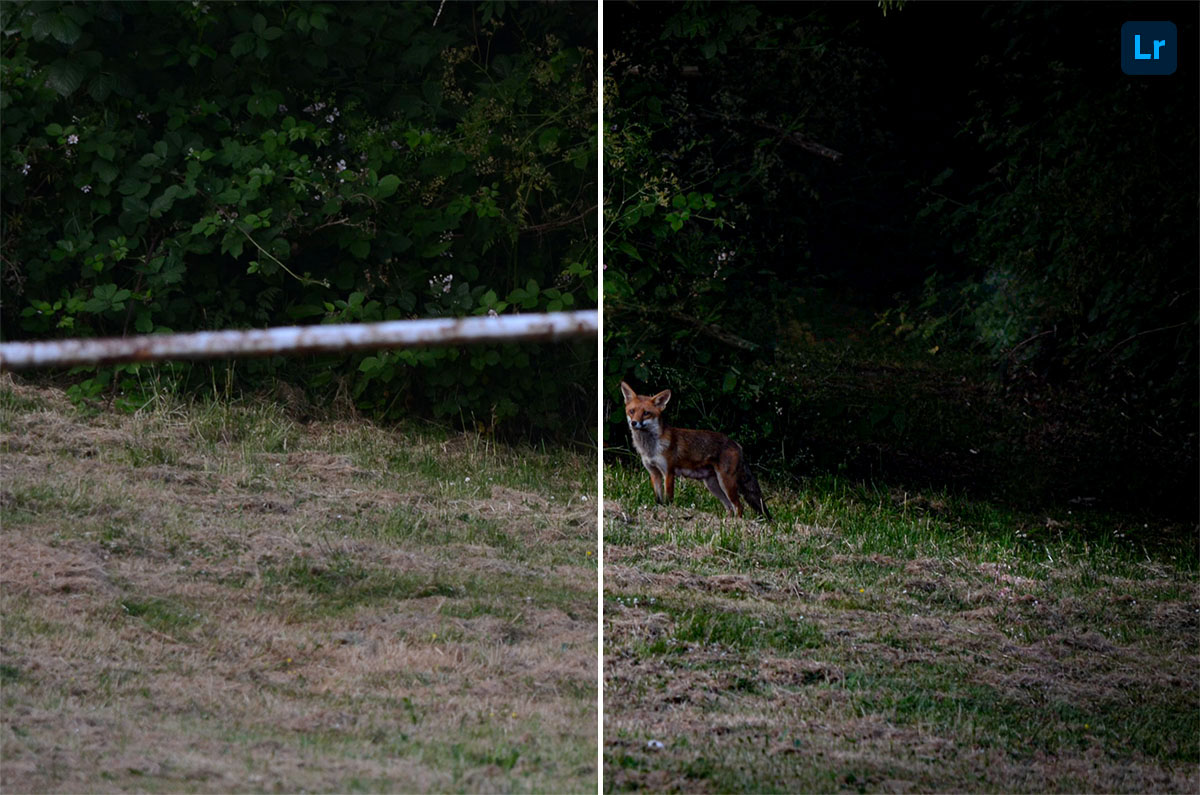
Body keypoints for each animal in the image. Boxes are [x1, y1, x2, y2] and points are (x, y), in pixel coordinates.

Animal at [619, 380, 771, 520]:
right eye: (632, 411)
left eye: (646, 413)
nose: (634, 423)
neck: (651, 448)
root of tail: (737, 444)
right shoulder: (654, 473)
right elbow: (659, 500)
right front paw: (658, 512)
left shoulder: (668, 472)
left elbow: (669, 499)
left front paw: (669, 513)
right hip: (713, 485)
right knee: (729, 507)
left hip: (726, 483)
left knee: (739, 506)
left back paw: (736, 523)